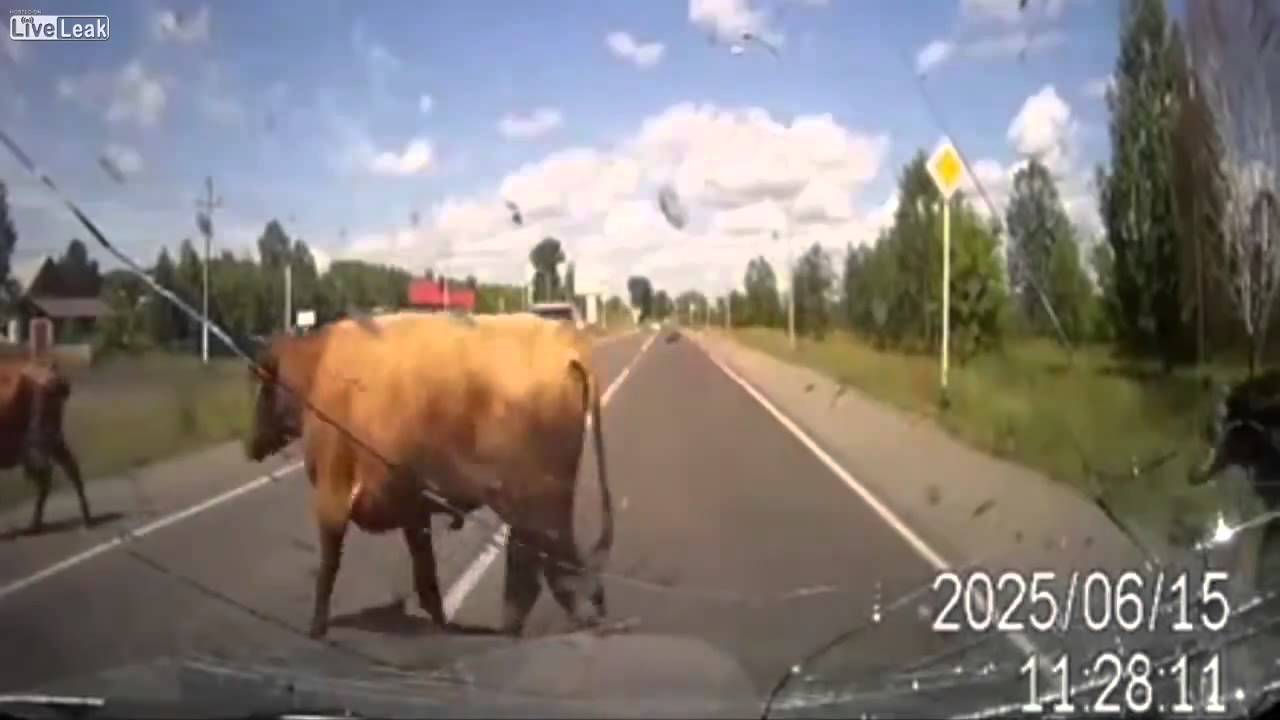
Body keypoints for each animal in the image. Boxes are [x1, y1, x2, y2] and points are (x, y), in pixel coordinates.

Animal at [245, 312, 614, 639]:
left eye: (263, 387)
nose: (250, 446)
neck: (319, 372)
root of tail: (566, 344)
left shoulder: (331, 495)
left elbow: (328, 567)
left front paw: (316, 628)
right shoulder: (412, 506)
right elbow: (426, 574)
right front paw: (440, 624)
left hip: (540, 504)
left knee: (555, 572)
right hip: (531, 509)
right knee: (534, 569)